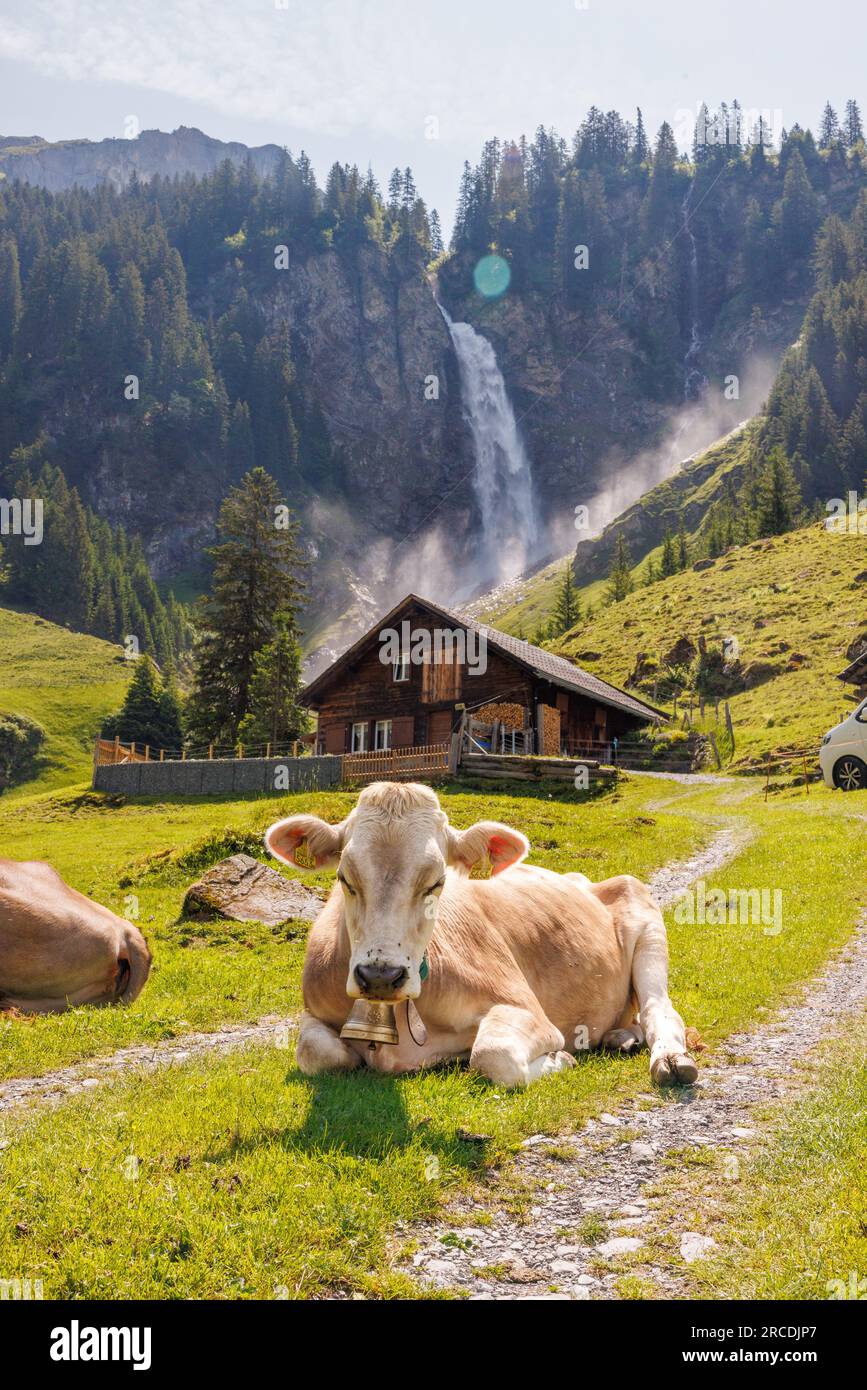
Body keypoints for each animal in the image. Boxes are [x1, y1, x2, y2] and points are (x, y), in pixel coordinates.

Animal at [265, 782, 698, 1088]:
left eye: (437, 882)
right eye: (344, 878)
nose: (381, 976)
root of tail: (581, 878)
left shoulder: (525, 1008)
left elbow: (492, 1054)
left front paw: (561, 1058)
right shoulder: (313, 1012)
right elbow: (313, 1051)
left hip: (644, 916)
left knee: (659, 1008)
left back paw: (670, 1059)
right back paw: (622, 1037)